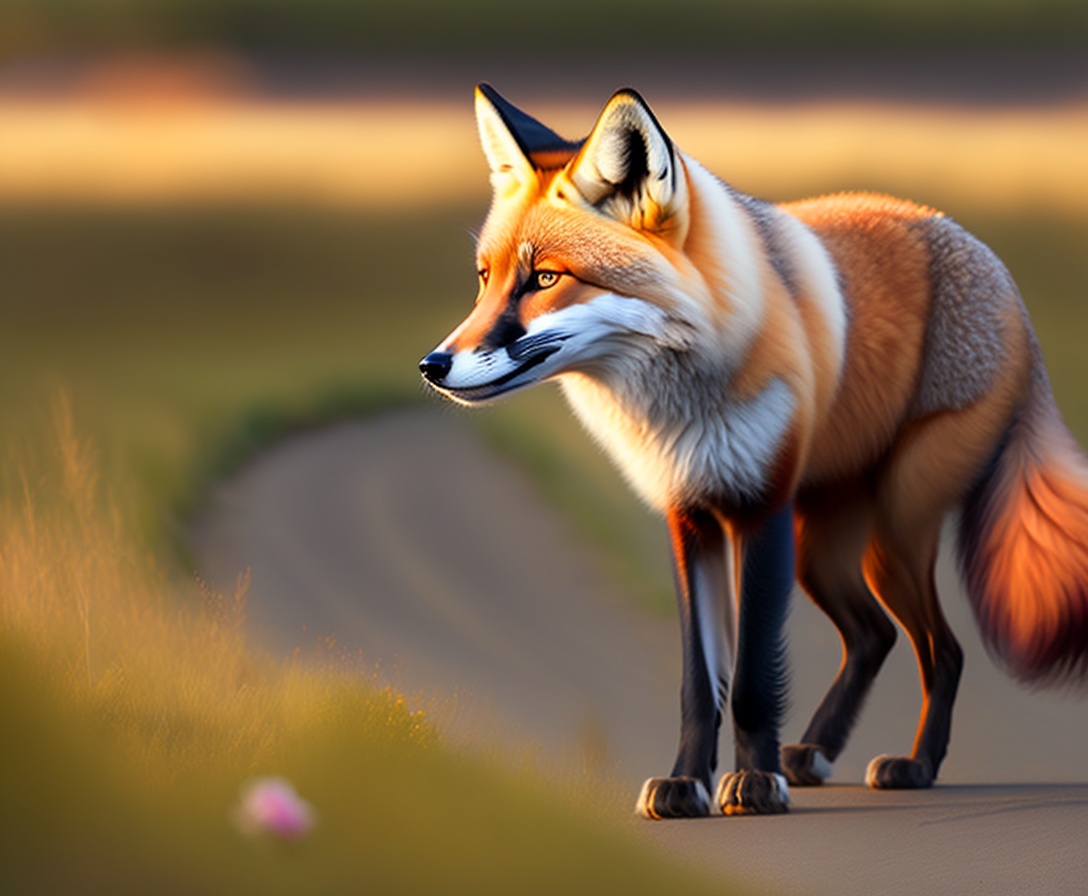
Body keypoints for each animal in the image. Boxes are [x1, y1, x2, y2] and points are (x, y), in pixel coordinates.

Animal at [419, 84, 1088, 818]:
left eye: (543, 279)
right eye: (485, 279)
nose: (431, 366)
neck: (682, 406)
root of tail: (994, 266)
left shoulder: (760, 512)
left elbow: (750, 681)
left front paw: (754, 784)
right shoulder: (690, 519)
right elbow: (699, 684)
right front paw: (687, 784)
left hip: (892, 534)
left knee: (945, 650)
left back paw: (914, 764)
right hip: (824, 552)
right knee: (875, 635)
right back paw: (817, 751)